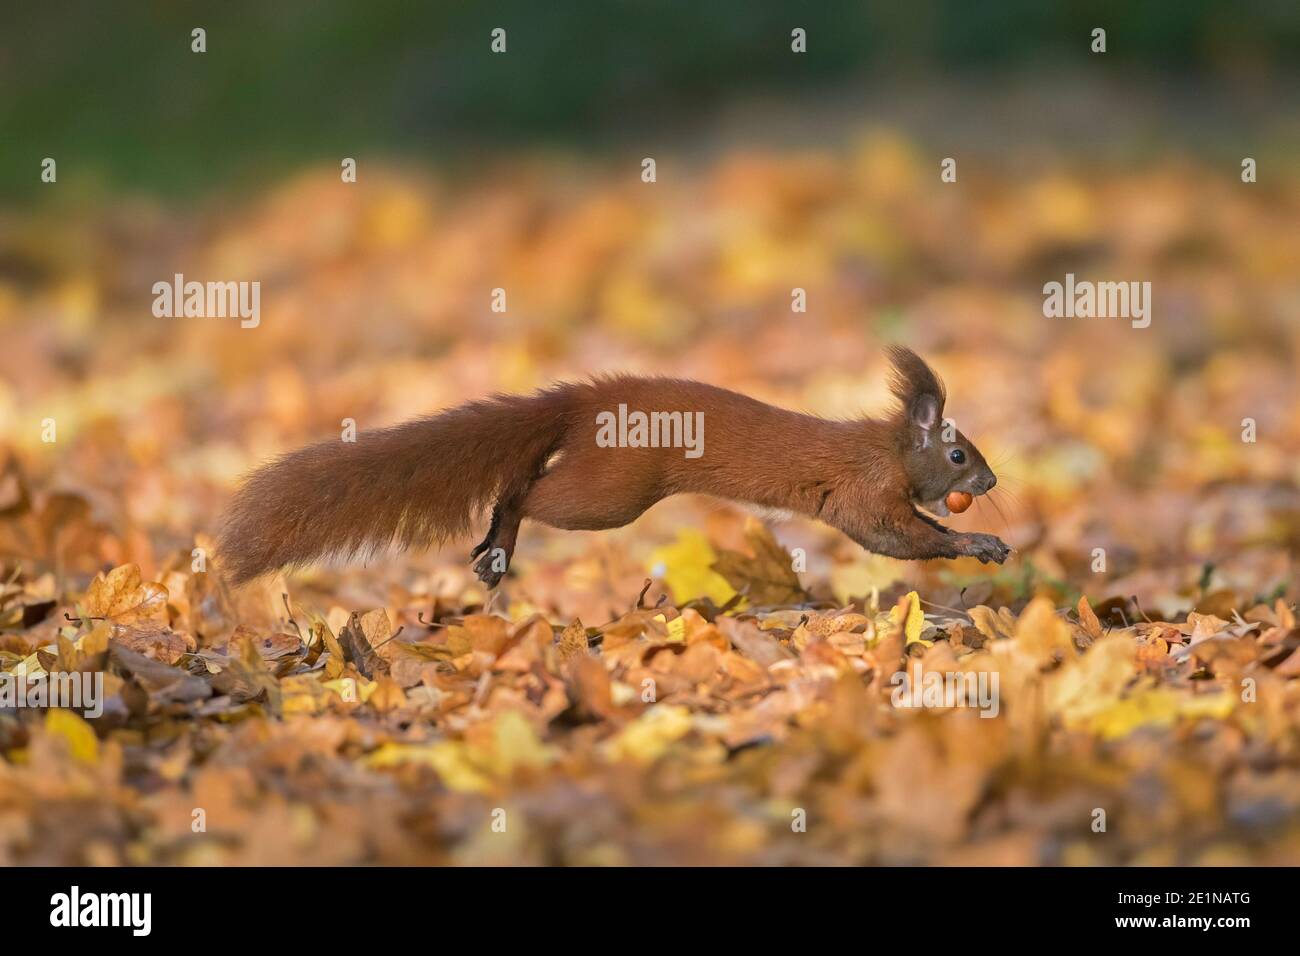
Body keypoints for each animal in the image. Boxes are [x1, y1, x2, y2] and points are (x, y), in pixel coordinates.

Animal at [217, 346, 1010, 588]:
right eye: (959, 453)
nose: (993, 484)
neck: (883, 448)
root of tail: (580, 401)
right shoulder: (861, 492)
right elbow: (893, 535)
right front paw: (980, 542)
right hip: (613, 489)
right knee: (527, 492)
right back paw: (499, 543)